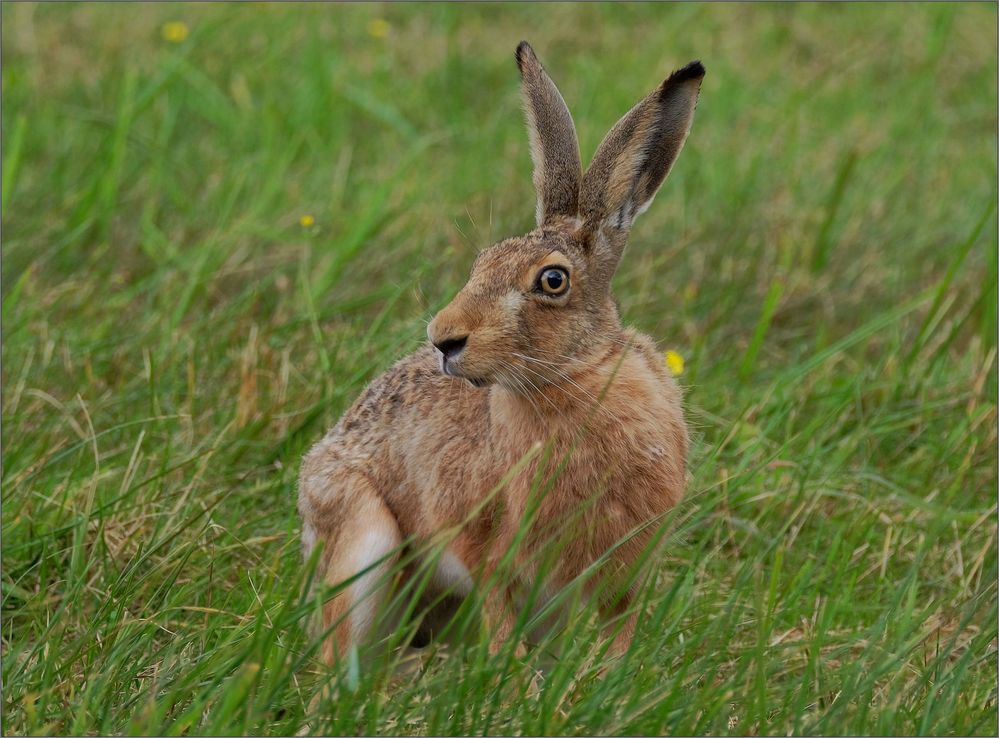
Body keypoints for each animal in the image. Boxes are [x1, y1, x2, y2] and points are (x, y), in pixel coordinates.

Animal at [299, 41, 703, 665]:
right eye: (482, 261)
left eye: (553, 281)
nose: (443, 338)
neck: (576, 377)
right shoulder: (486, 555)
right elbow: (499, 625)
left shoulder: (622, 580)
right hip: (364, 539)